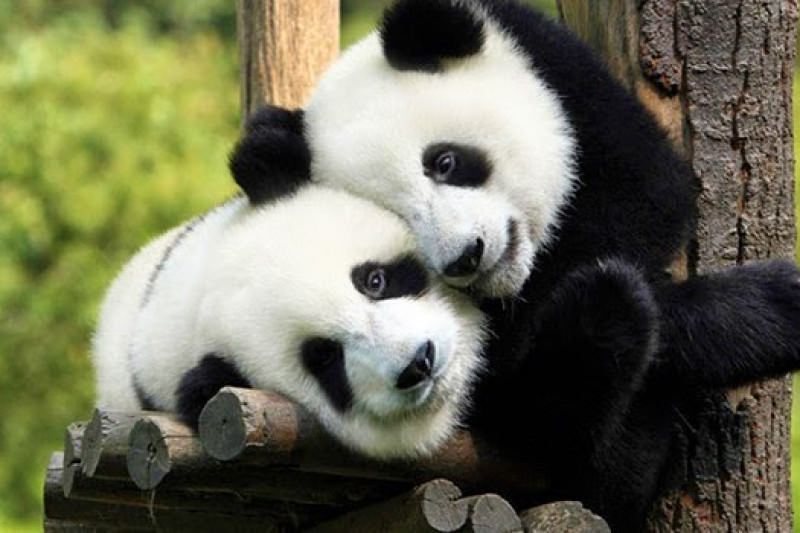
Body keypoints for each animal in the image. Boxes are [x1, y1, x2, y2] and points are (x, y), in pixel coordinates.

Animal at [230, 0, 800, 529]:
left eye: (445, 162)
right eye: (398, 216)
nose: (466, 256)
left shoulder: (563, 77)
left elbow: (649, 196)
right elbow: (516, 383)